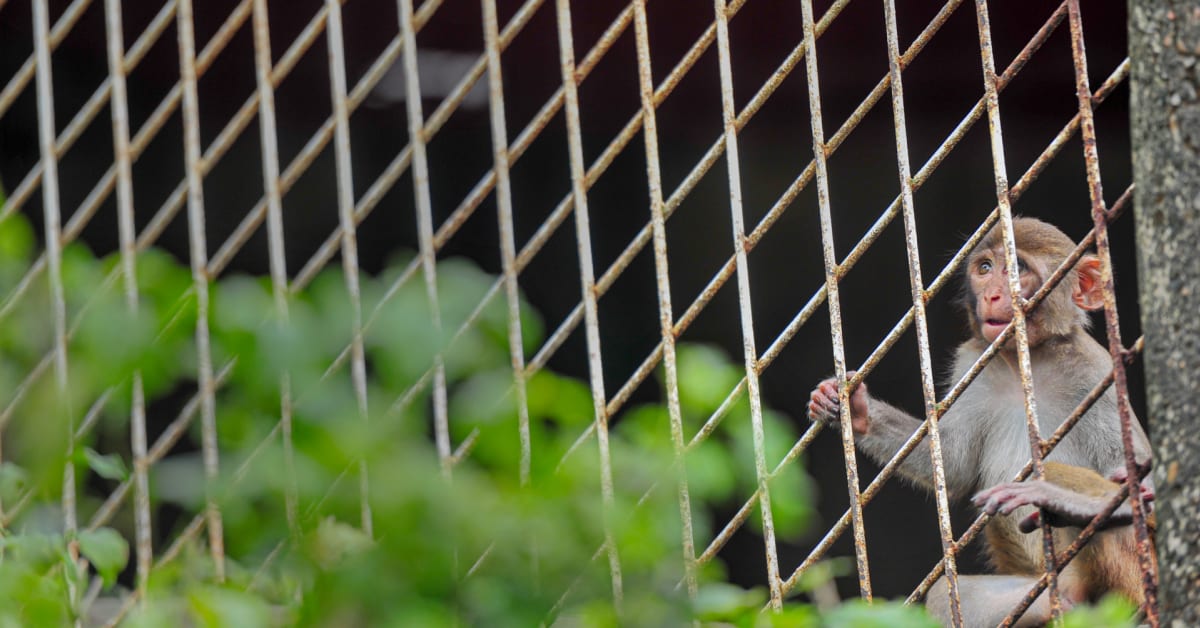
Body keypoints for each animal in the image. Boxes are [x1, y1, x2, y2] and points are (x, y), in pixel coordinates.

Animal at [806, 217, 1152, 627]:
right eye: (985, 268)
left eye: (1017, 268)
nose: (991, 297)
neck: (1026, 364)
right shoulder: (973, 363)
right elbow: (953, 465)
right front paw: (854, 409)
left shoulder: (1095, 374)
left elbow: (1139, 478)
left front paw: (1065, 499)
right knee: (946, 595)